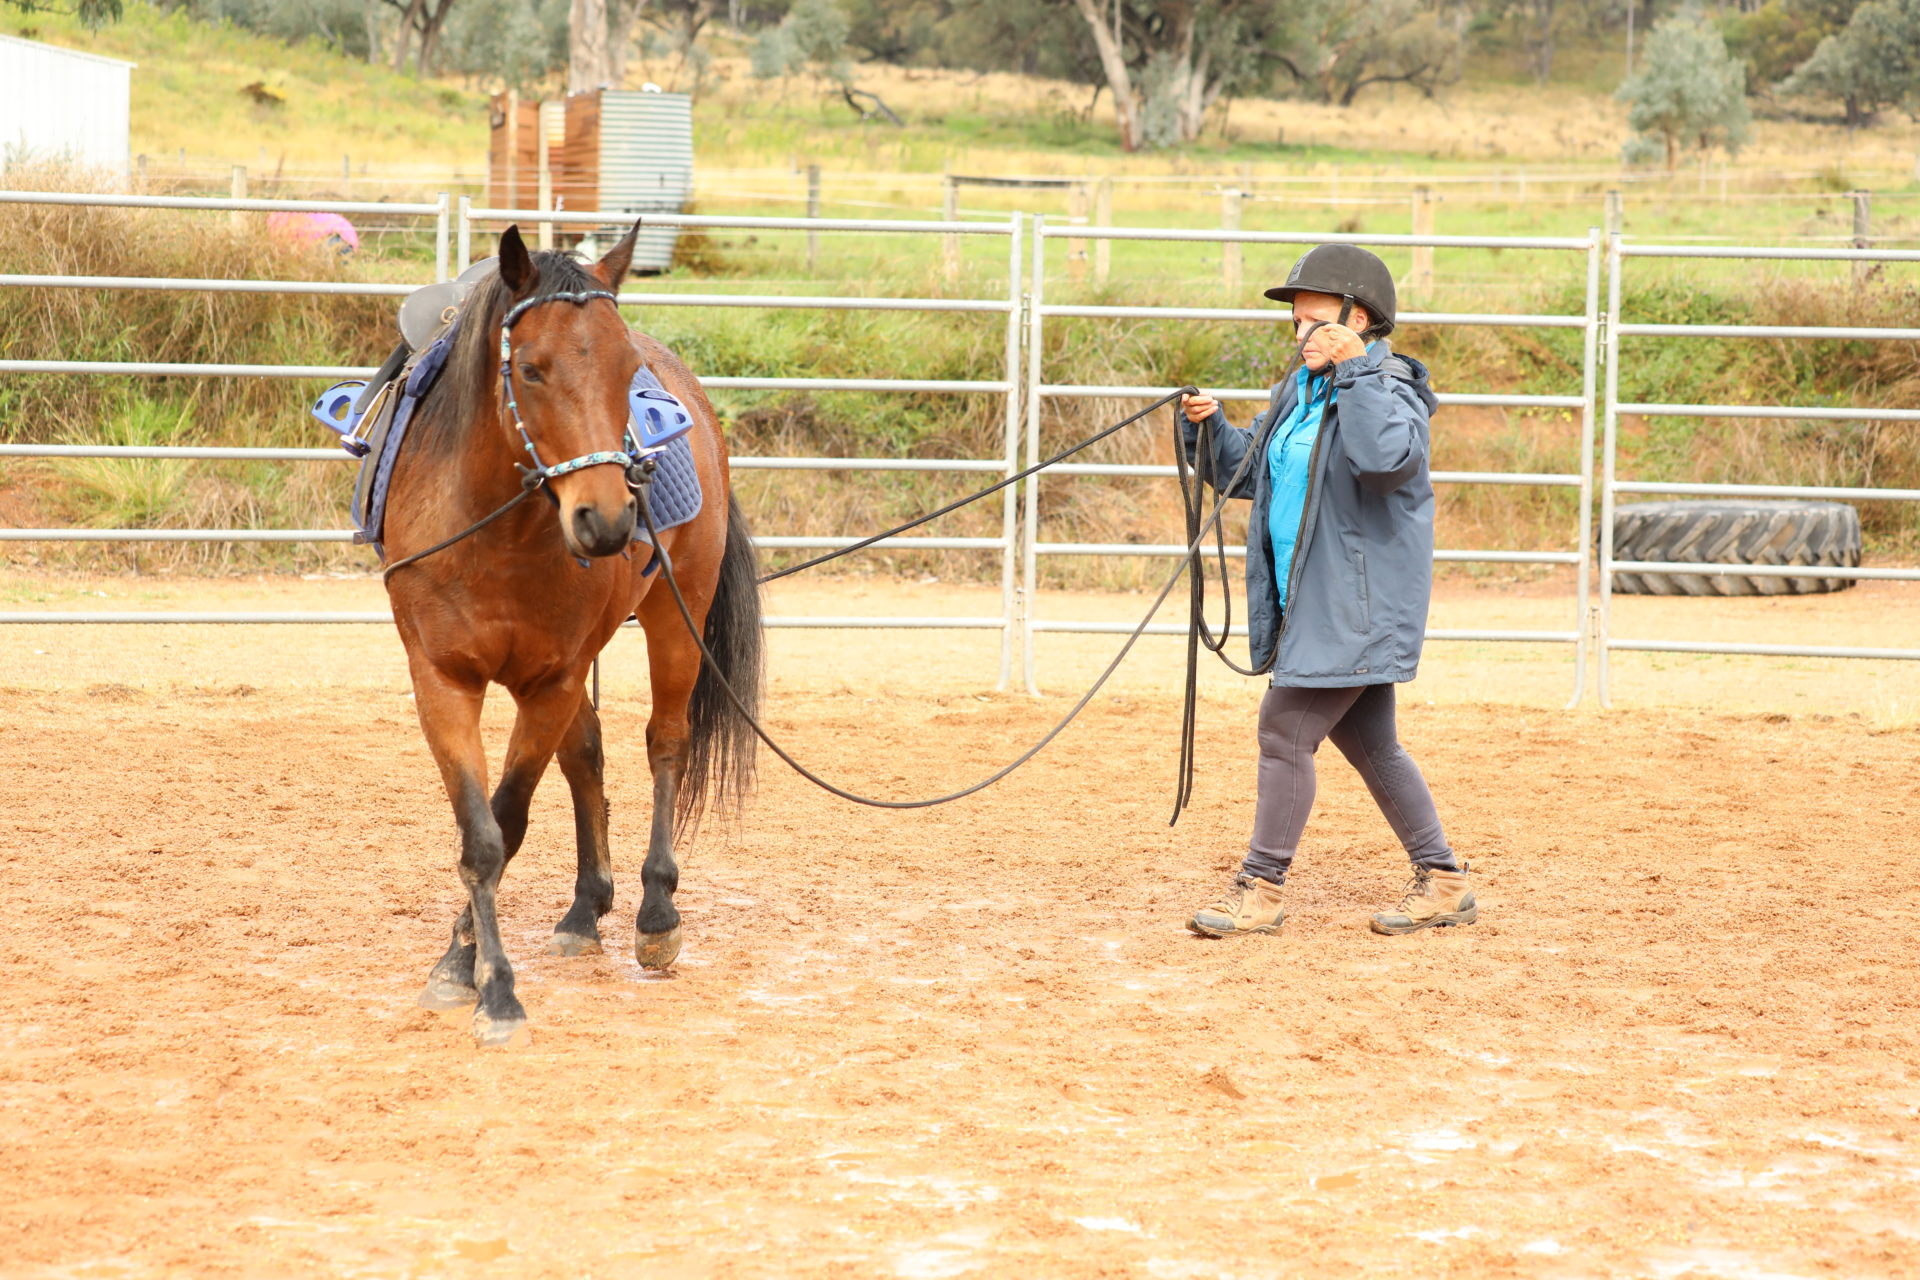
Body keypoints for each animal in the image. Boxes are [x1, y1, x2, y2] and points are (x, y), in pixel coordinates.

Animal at [381, 222, 763, 1047]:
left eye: (623, 370)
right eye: (530, 369)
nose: (608, 517)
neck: (495, 535)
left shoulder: (549, 681)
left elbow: (509, 822)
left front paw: (491, 984)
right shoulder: (441, 680)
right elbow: (481, 833)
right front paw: (463, 970)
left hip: (676, 619)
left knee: (665, 744)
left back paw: (655, 913)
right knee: (587, 756)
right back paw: (587, 909)